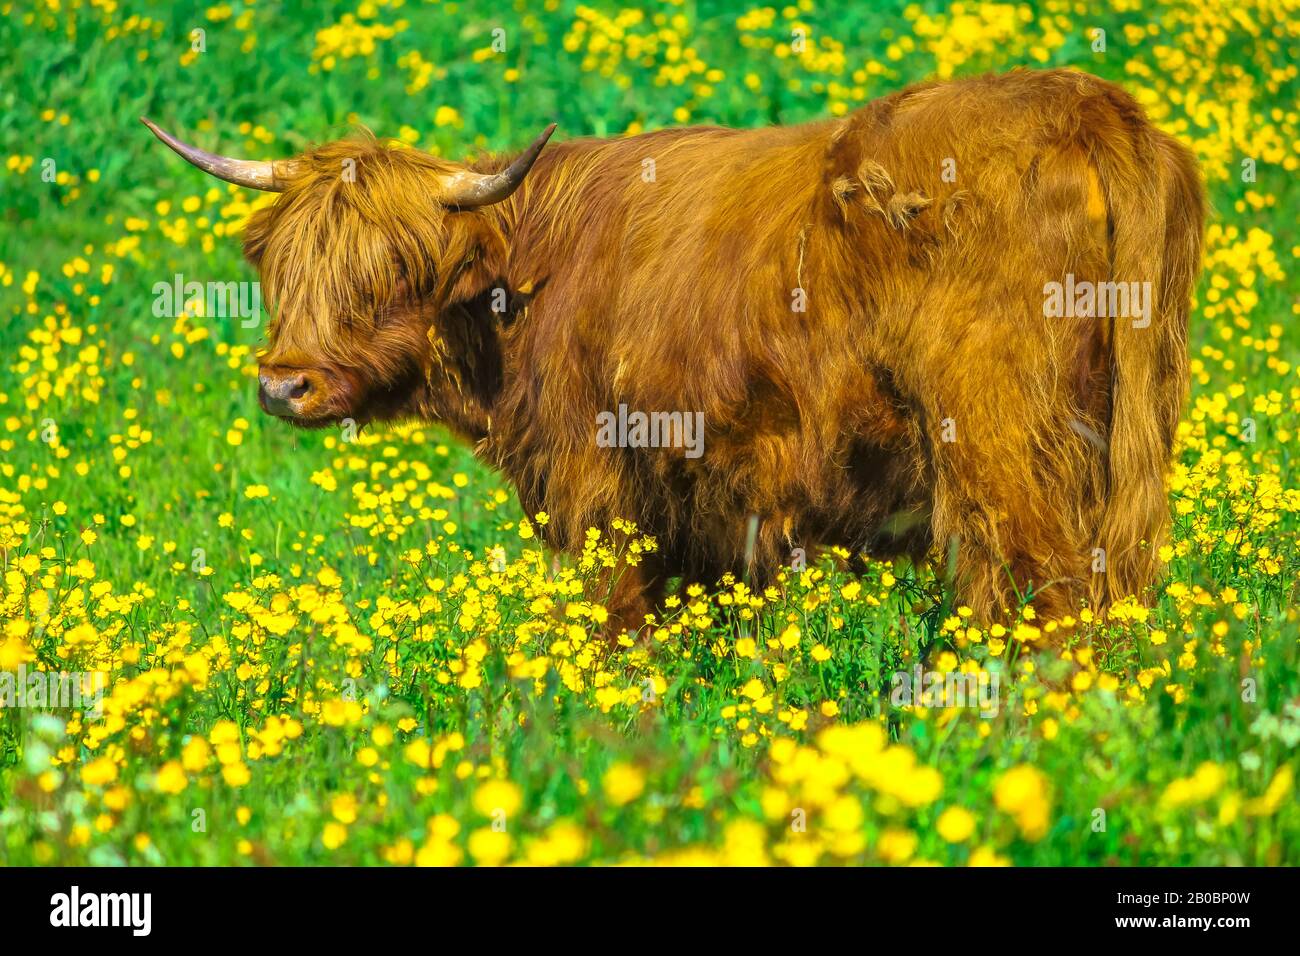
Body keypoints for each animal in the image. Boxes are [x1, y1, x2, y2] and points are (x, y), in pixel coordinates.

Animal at [144, 67, 1204, 634]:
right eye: (280, 267)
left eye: (392, 272)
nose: (284, 385)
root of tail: (1082, 101)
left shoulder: (599, 485)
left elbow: (616, 623)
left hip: (997, 441)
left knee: (1038, 589)